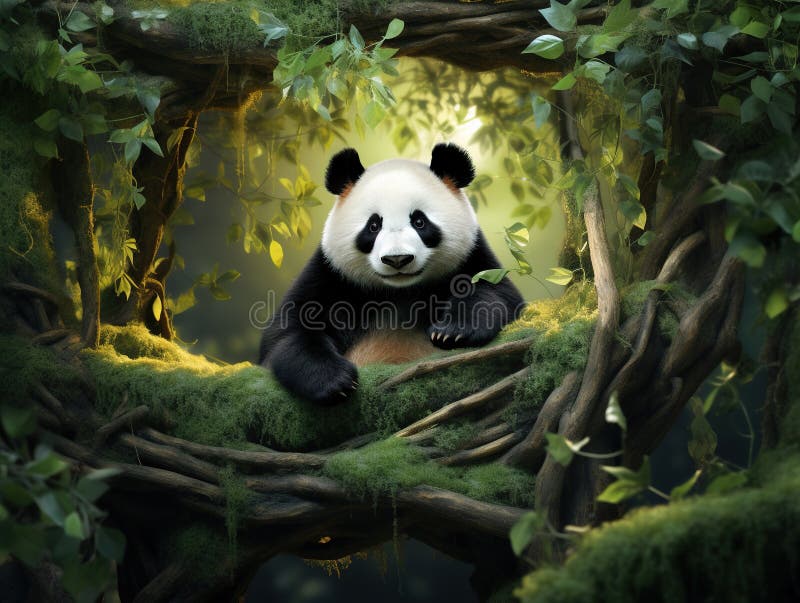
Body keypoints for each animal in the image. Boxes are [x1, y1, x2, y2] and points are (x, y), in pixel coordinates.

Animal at [259, 143, 524, 405]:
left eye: (419, 221)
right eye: (374, 225)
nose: (398, 259)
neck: (400, 292)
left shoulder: (470, 258)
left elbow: (495, 295)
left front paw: (452, 331)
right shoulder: (332, 275)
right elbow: (291, 329)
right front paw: (336, 381)